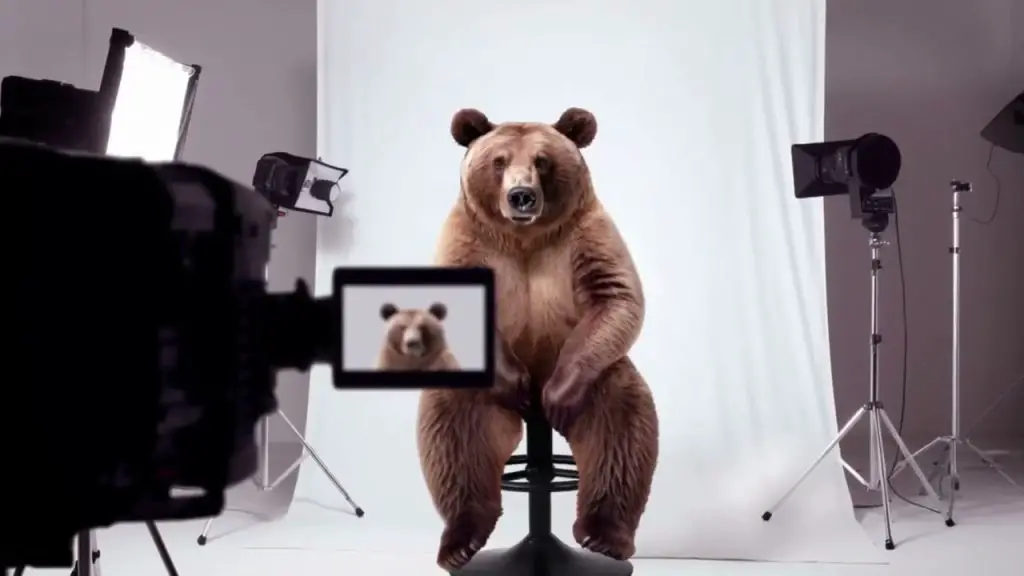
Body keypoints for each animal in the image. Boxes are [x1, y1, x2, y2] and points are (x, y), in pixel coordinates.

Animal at [417, 106, 660, 571]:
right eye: (499, 161)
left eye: (543, 160)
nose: (521, 196)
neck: (524, 237)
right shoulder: (468, 239)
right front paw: (515, 384)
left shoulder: (587, 235)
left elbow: (616, 296)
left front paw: (557, 398)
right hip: (472, 389)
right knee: (453, 431)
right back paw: (462, 541)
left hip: (599, 377)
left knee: (622, 426)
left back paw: (604, 537)